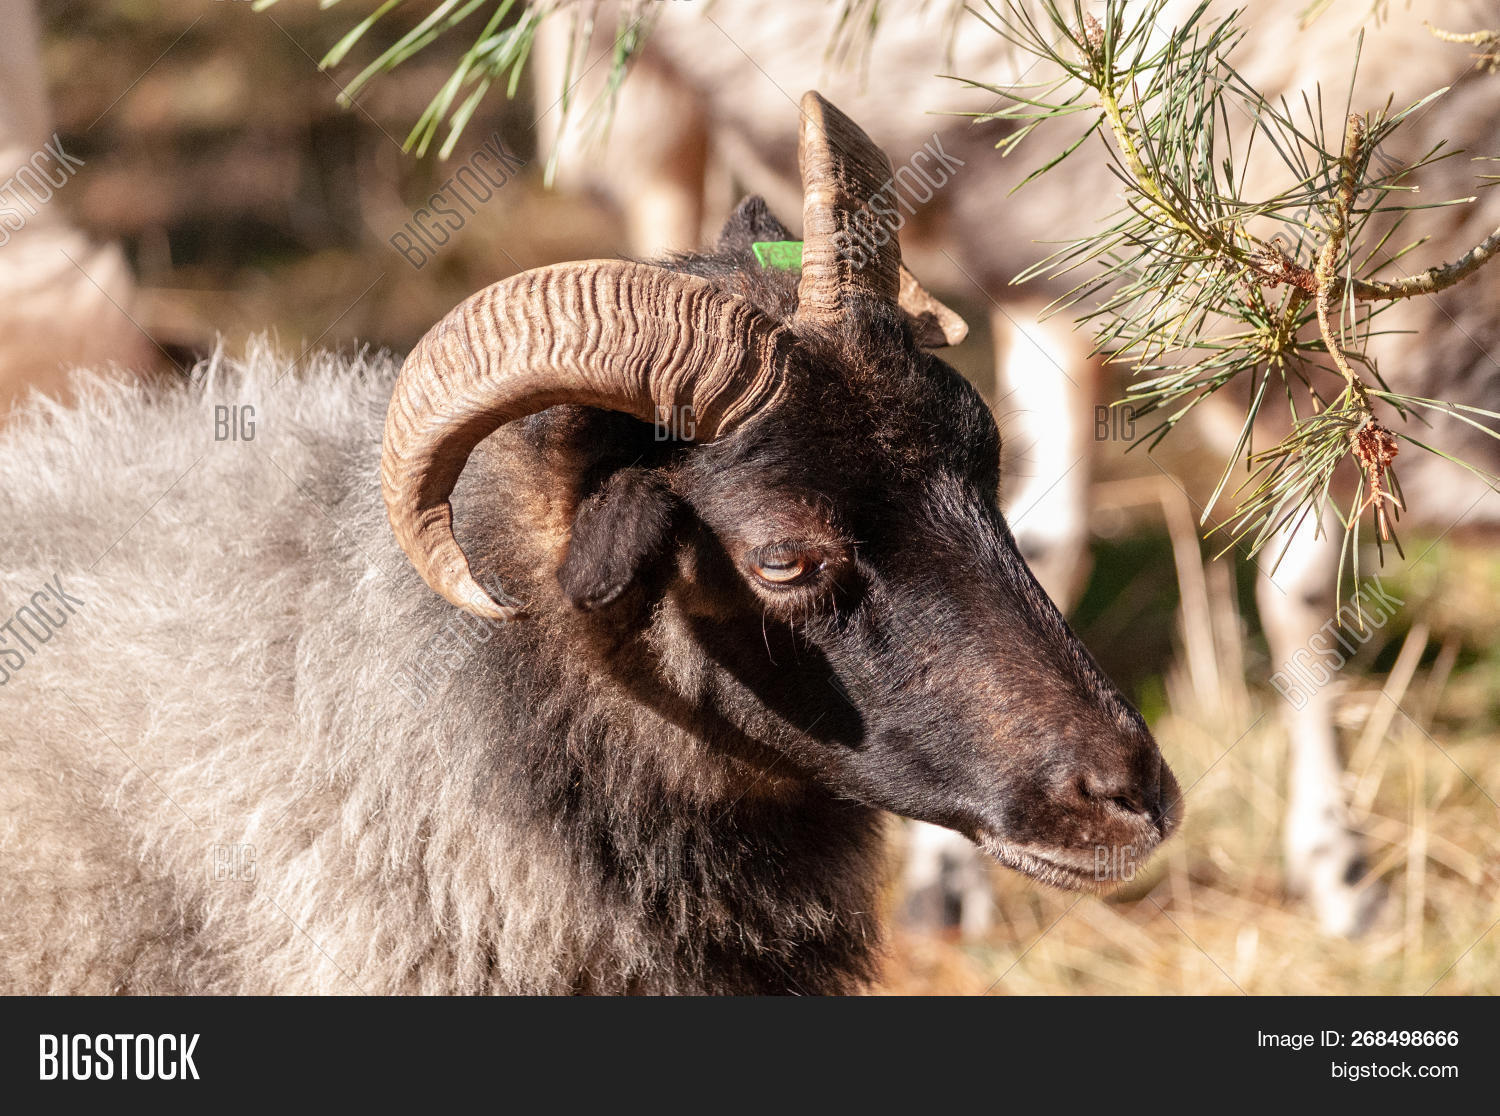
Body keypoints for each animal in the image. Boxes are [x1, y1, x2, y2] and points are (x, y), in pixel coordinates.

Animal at [538, 0, 1500, 937]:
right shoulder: (1051, 262)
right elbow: (1054, 543)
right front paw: (943, 891)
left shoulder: (1291, 360)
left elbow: (1302, 585)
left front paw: (1343, 875)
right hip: (630, 87)